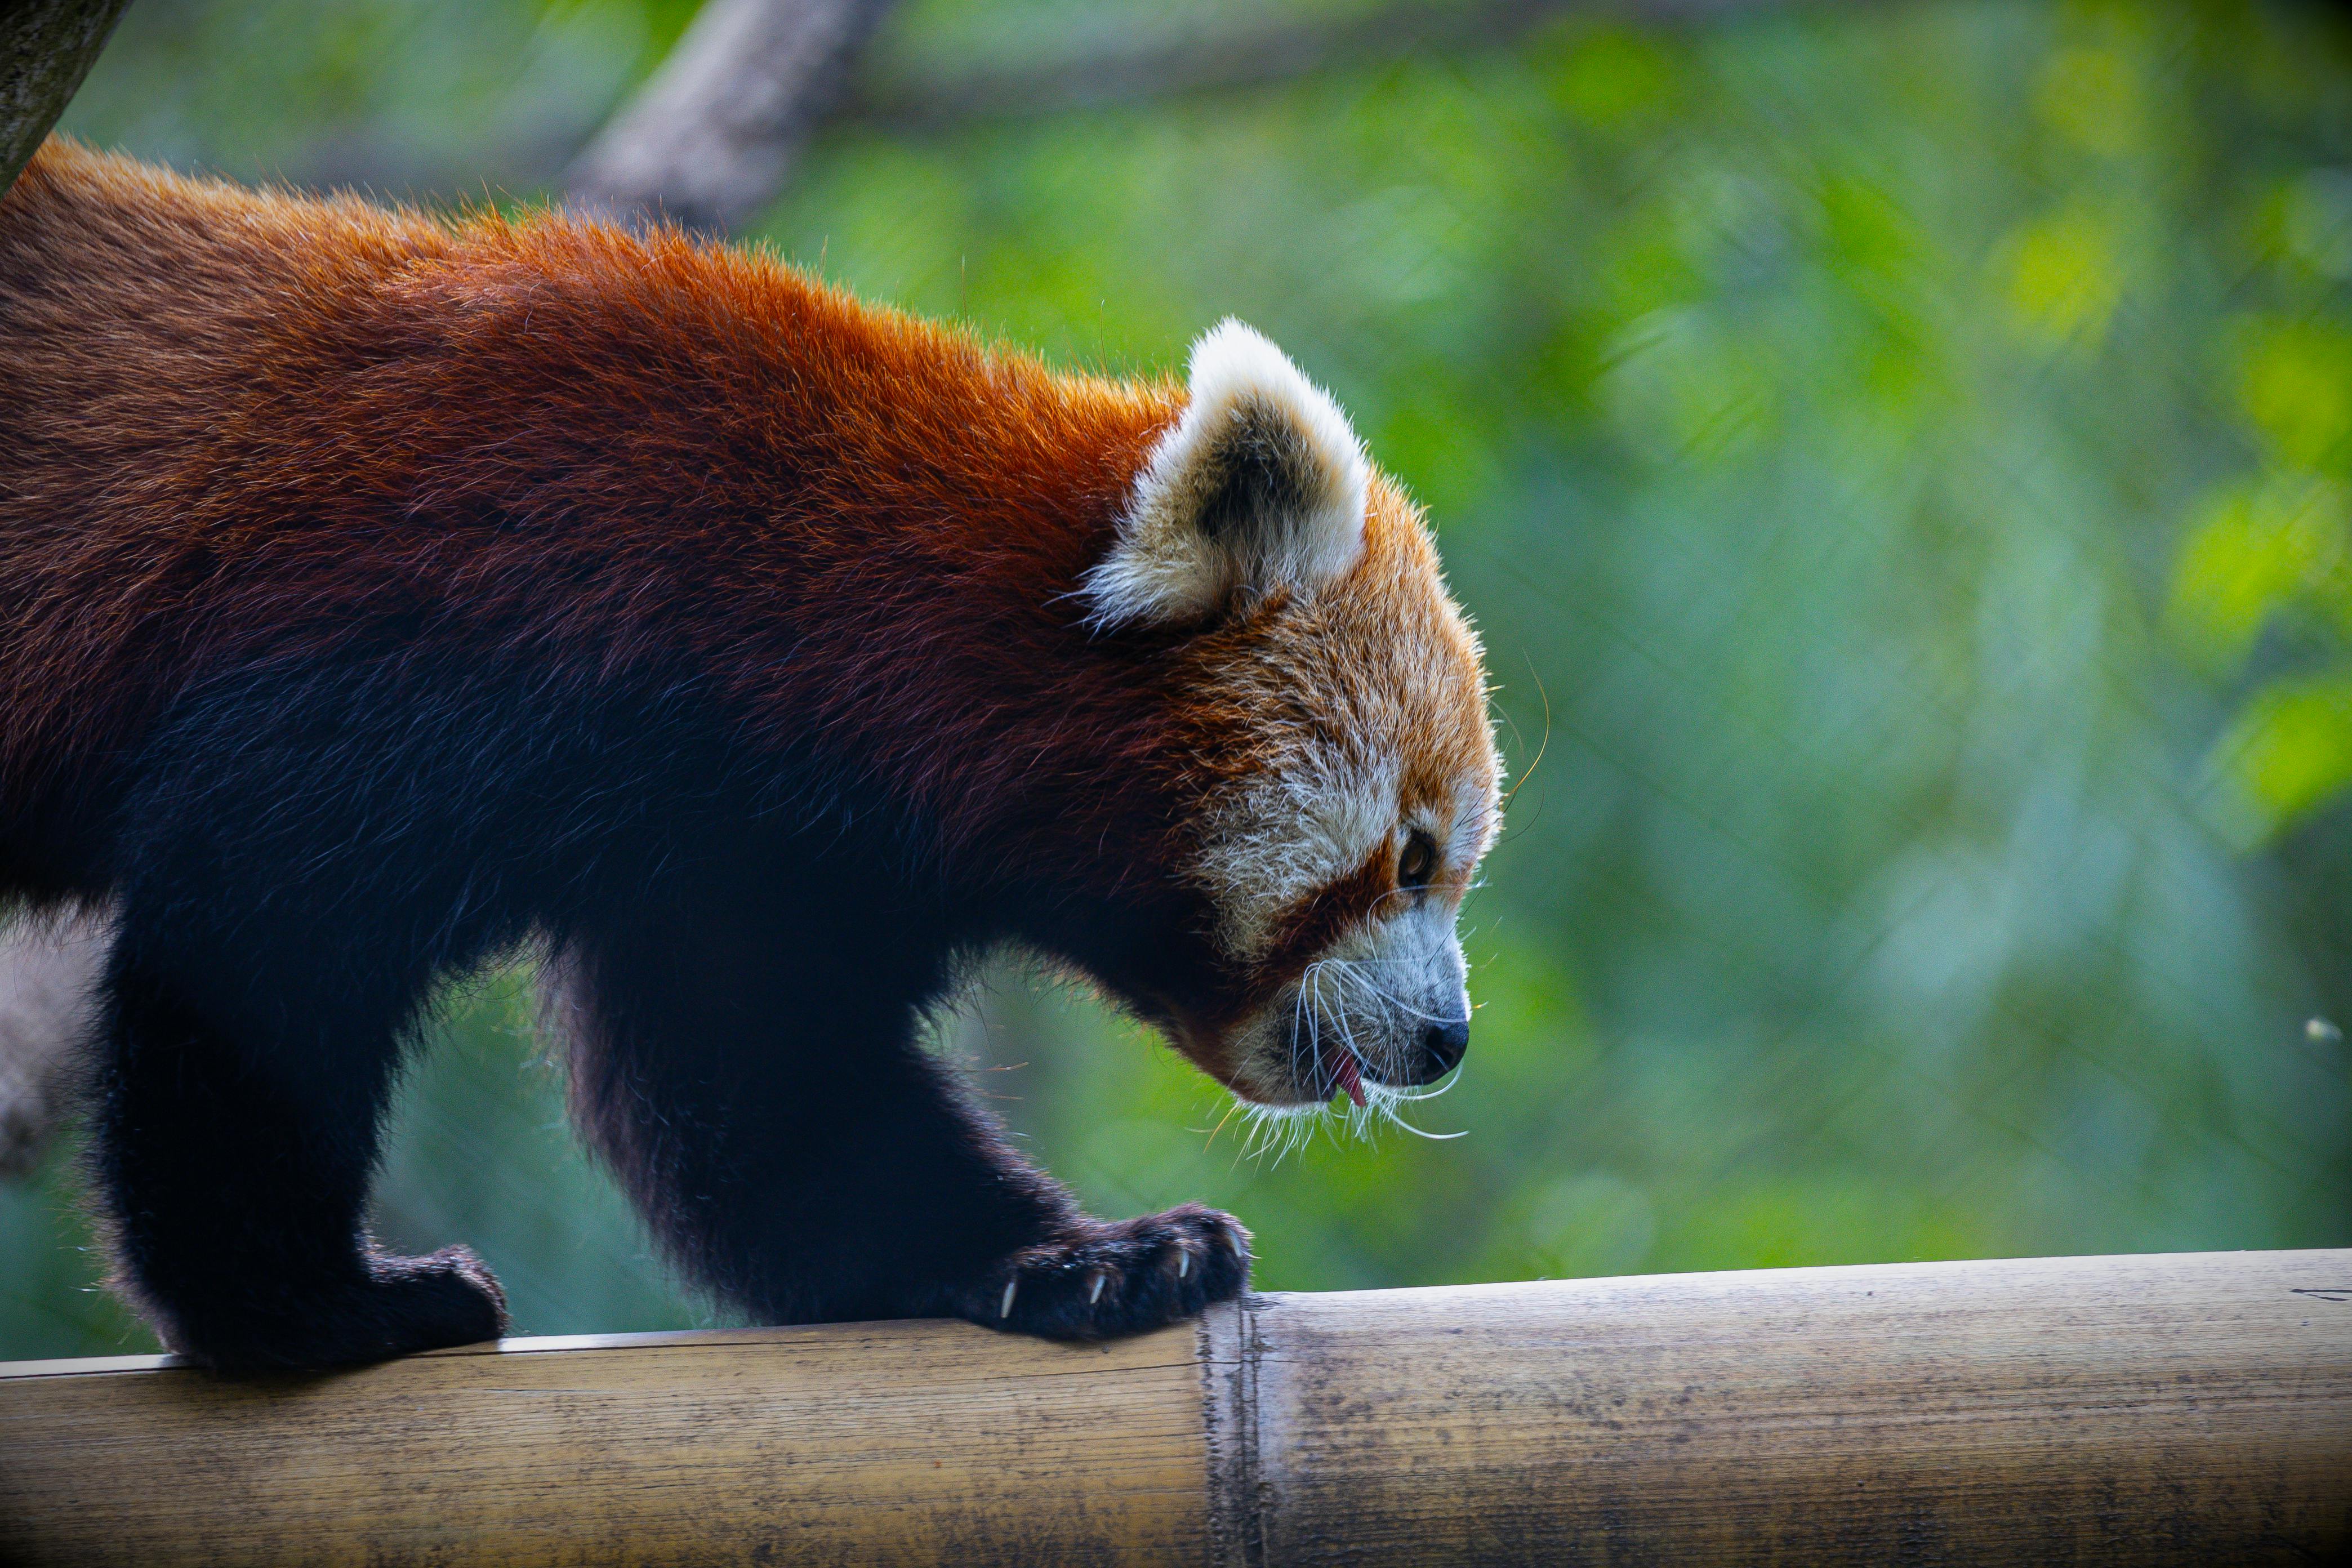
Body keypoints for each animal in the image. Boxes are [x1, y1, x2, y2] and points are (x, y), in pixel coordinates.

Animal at [0, 141, 1501, 1372]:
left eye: (1451, 866)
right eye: (1411, 859)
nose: (1445, 1041)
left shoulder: (739, 855)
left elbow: (758, 1090)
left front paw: (1082, 1258)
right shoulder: (436, 607)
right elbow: (258, 945)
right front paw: (301, 1307)